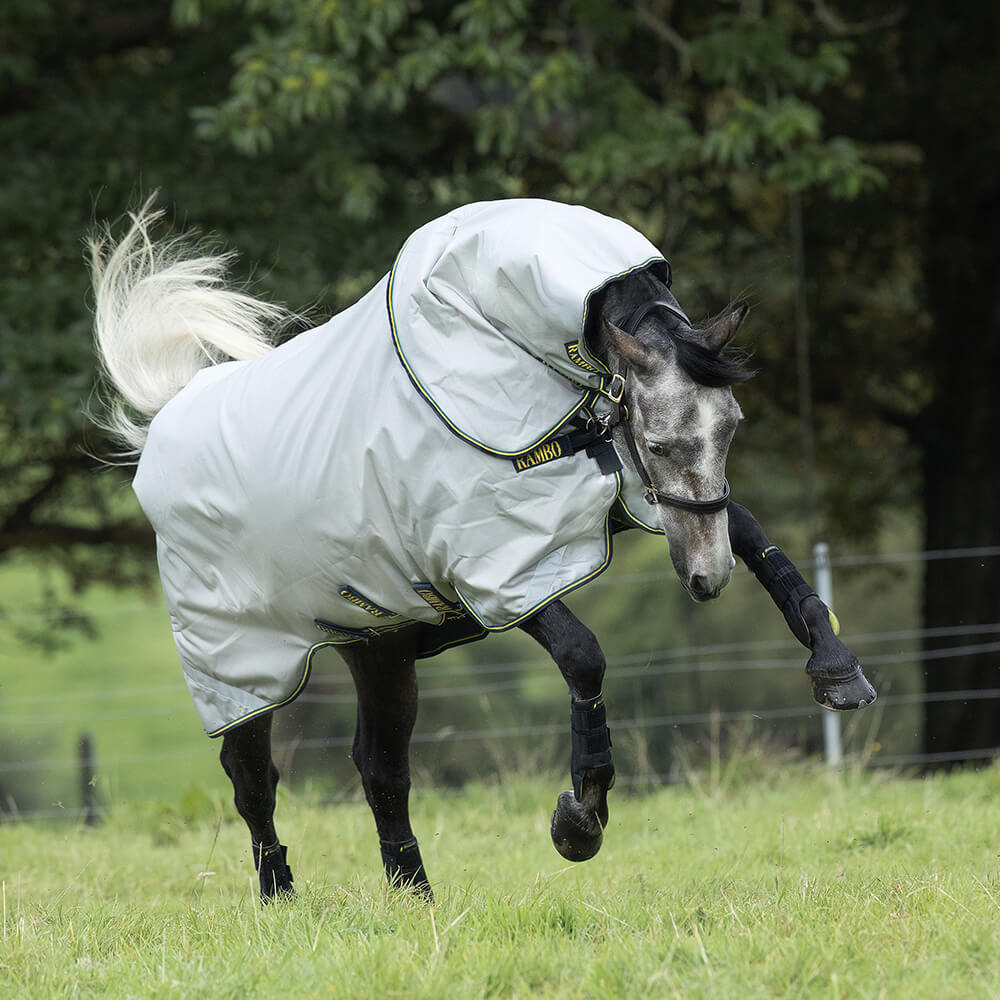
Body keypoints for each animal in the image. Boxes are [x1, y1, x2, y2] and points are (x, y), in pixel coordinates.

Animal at [88, 198, 875, 900]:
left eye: (732, 426)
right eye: (658, 443)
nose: (707, 580)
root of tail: (168, 417)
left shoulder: (623, 494)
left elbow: (754, 535)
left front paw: (837, 671)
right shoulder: (496, 566)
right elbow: (583, 656)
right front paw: (579, 822)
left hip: (377, 646)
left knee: (380, 769)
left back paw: (414, 896)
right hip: (241, 663)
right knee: (253, 777)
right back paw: (279, 898)